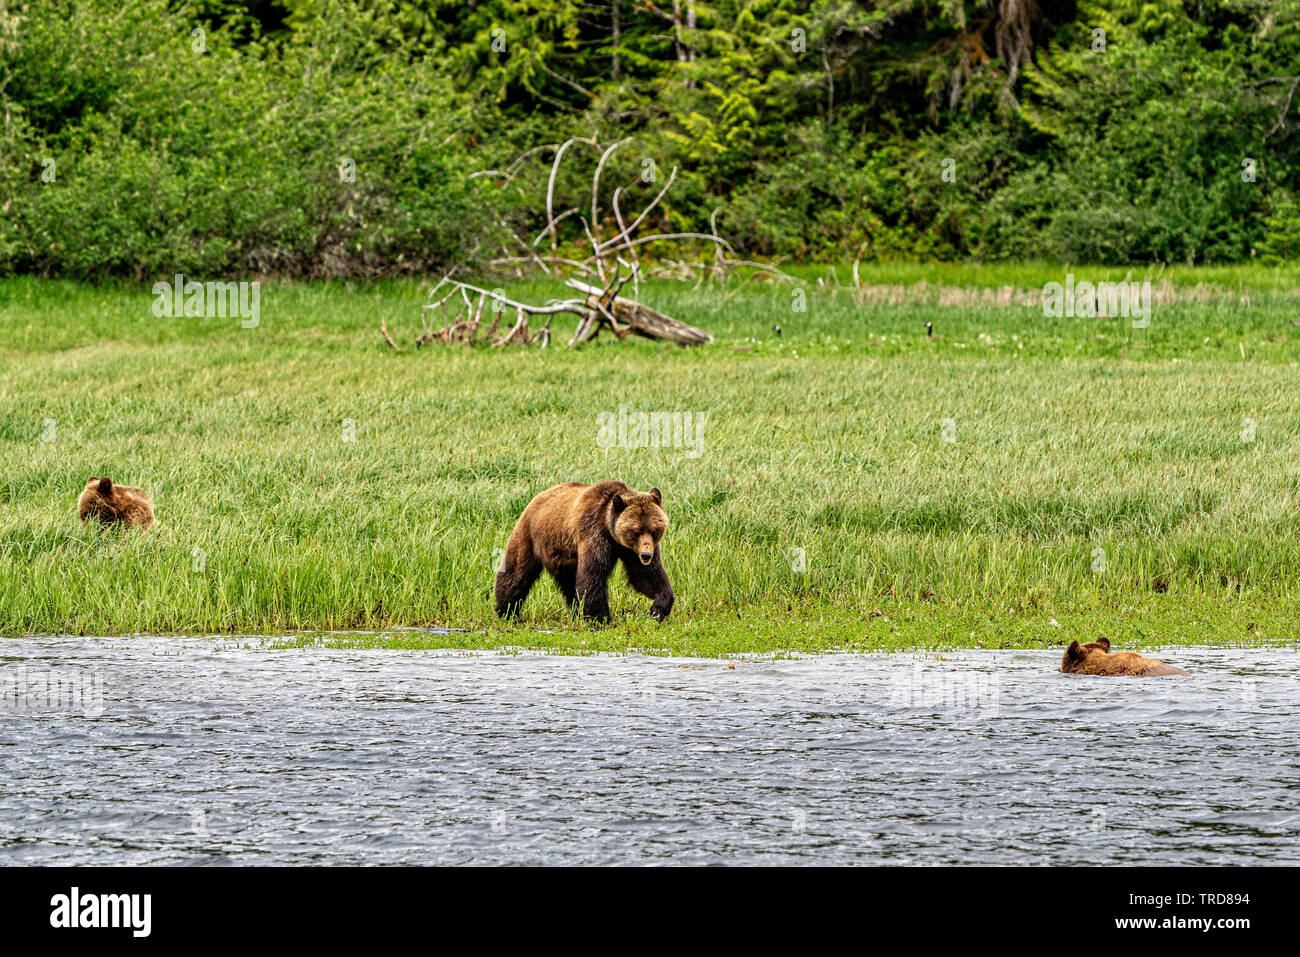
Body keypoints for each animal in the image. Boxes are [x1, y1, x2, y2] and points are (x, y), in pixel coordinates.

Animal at [495, 481, 673, 622]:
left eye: (654, 530)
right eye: (635, 531)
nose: (646, 555)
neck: (610, 531)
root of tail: (537, 497)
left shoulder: (630, 550)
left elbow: (646, 575)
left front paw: (658, 609)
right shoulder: (594, 533)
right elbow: (593, 574)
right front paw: (600, 618)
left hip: (563, 556)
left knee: (570, 584)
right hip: (531, 536)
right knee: (516, 572)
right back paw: (506, 611)